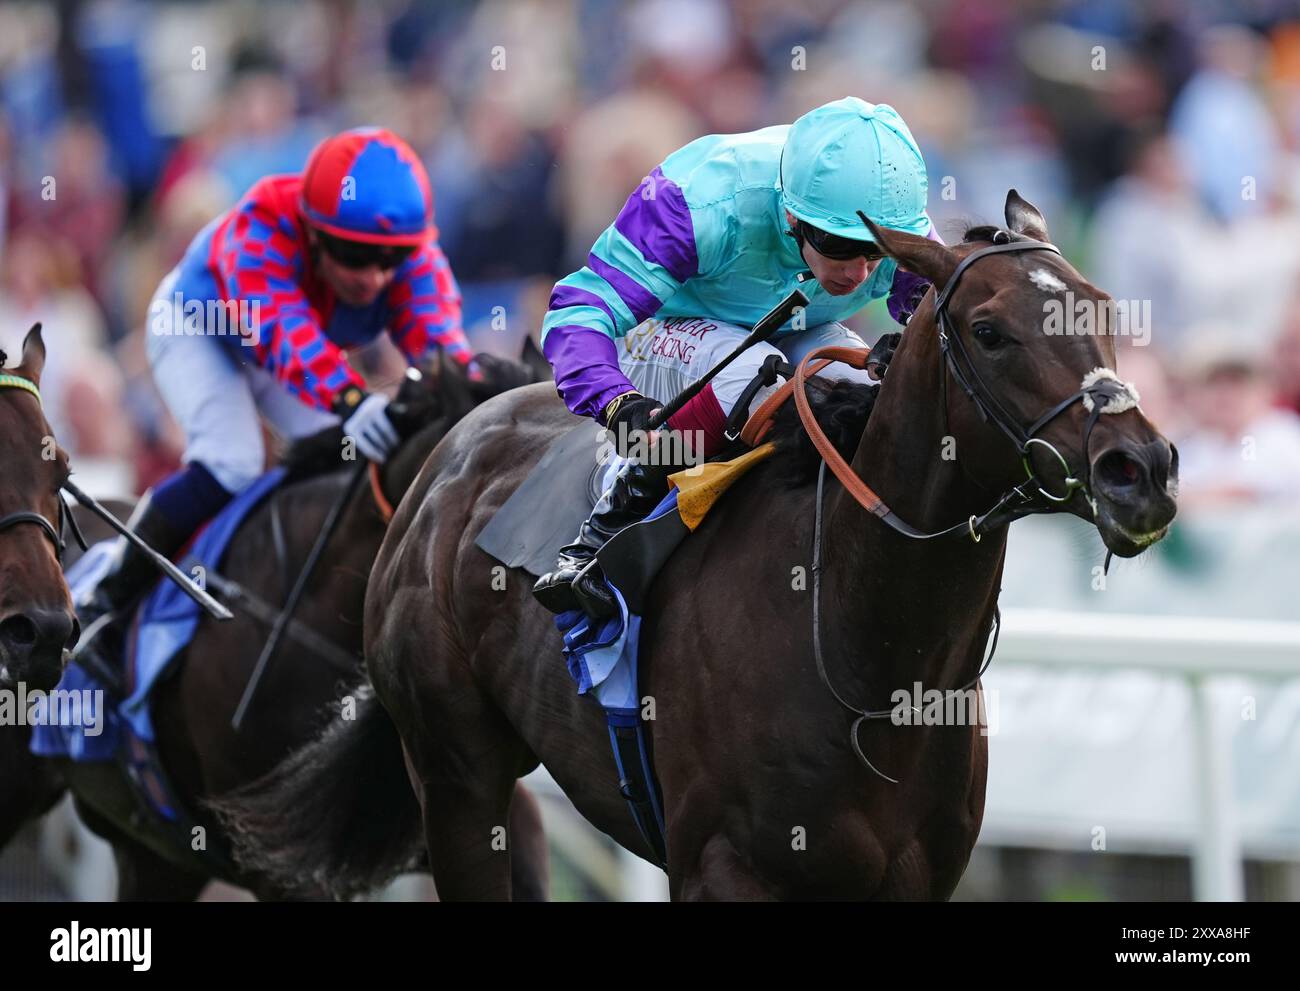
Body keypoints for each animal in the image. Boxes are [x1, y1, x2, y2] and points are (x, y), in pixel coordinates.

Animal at [219, 191, 1178, 900]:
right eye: (990, 331)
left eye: (1099, 307)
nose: (1142, 470)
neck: (871, 656)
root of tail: (447, 457)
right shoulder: (725, 866)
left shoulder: (916, 880)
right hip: (458, 780)